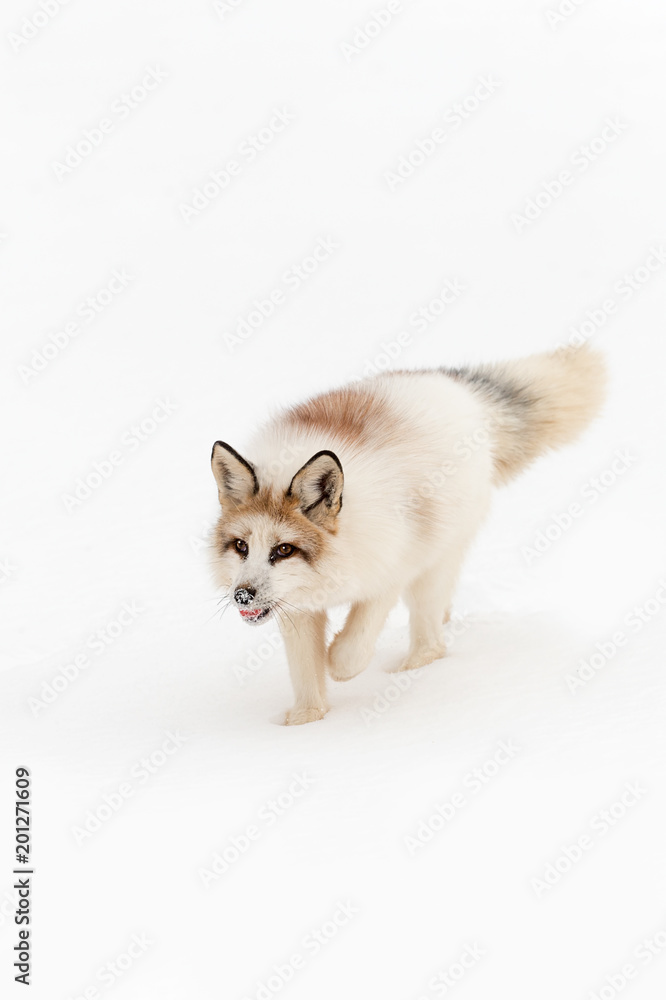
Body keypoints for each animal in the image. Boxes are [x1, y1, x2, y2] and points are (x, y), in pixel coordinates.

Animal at [210, 345, 606, 725]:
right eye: (241, 546)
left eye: (283, 549)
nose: (242, 596)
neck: (335, 564)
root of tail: (459, 388)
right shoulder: (298, 608)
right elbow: (306, 672)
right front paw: (306, 721)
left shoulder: (389, 570)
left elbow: (351, 650)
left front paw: (339, 665)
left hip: (431, 562)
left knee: (431, 641)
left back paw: (411, 669)